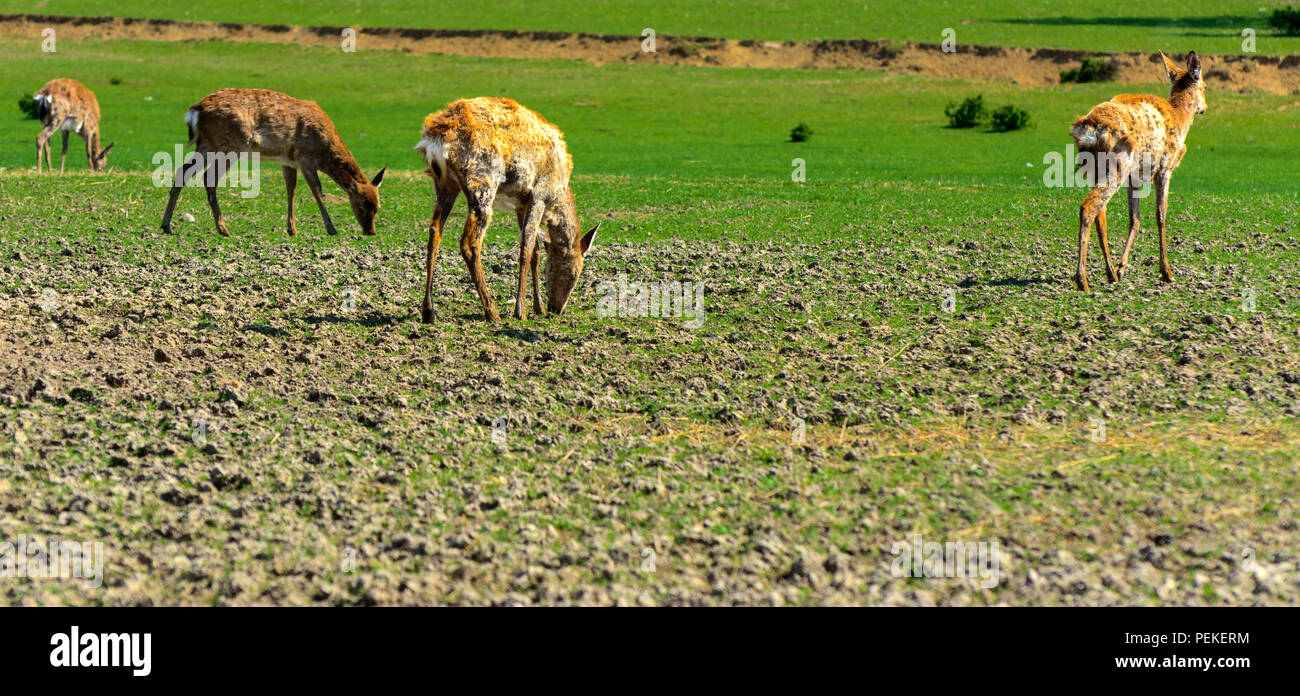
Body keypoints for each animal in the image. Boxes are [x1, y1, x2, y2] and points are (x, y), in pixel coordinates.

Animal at [160, 89, 385, 237]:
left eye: (378, 207)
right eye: (361, 207)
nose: (370, 232)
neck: (324, 146)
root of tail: (194, 112)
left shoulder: (288, 161)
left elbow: (291, 190)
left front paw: (292, 229)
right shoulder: (305, 157)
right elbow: (317, 190)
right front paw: (331, 228)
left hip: (206, 145)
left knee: (183, 172)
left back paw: (166, 225)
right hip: (230, 146)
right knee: (209, 178)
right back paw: (223, 229)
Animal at [412, 97, 599, 323]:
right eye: (575, 273)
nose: (557, 309)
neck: (559, 194)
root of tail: (435, 141)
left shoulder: (522, 202)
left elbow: (536, 252)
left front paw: (538, 307)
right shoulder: (540, 196)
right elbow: (526, 248)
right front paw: (521, 311)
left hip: (445, 183)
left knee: (434, 231)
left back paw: (428, 310)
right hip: (483, 183)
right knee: (469, 243)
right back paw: (492, 312)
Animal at [1070, 51, 1206, 293]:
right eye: (1206, 86)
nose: (1205, 106)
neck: (1180, 120)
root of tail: (1087, 129)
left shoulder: (1135, 177)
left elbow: (1135, 218)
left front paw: (1122, 267)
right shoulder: (1165, 168)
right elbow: (1161, 215)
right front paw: (1167, 272)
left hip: (1096, 169)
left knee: (1100, 215)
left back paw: (1110, 273)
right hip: (1116, 166)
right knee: (1088, 207)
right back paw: (1082, 280)